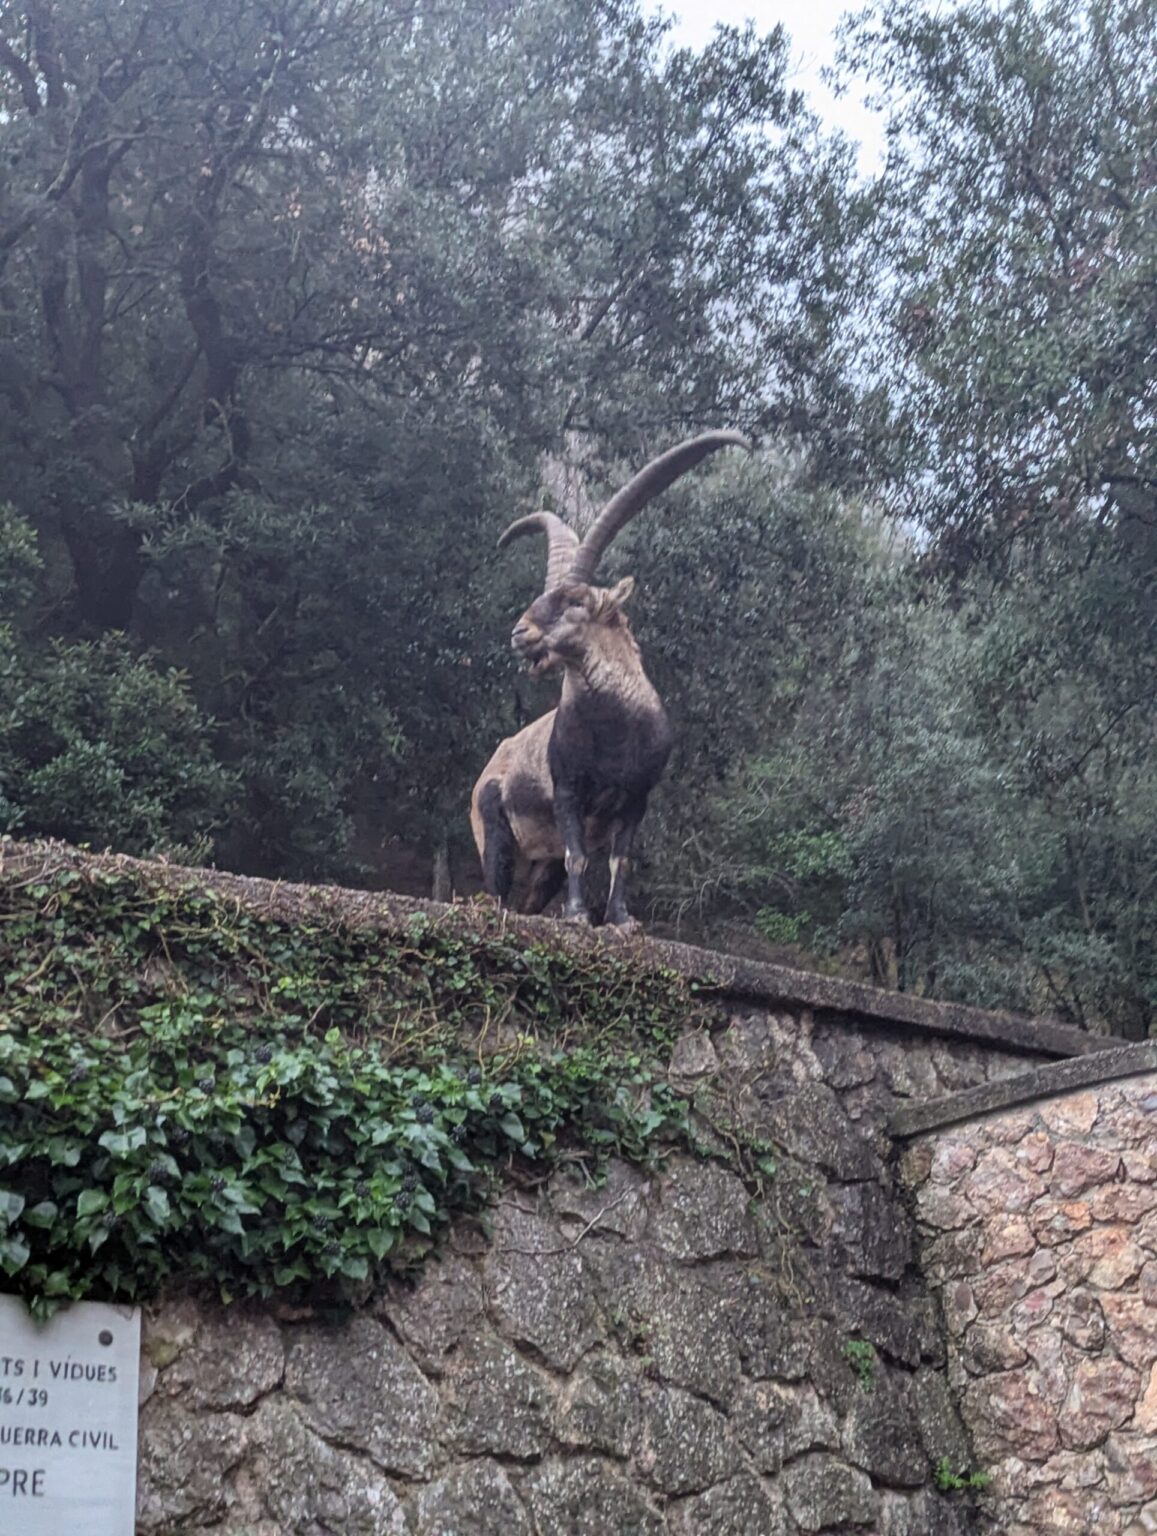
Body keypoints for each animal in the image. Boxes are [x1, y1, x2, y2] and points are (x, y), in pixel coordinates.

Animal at [470, 431, 750, 927]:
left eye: (575, 601)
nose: (520, 633)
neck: (614, 732)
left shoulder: (636, 797)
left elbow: (621, 860)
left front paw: (621, 919)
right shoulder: (568, 790)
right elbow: (578, 855)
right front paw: (579, 916)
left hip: (539, 864)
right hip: (495, 832)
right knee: (500, 887)